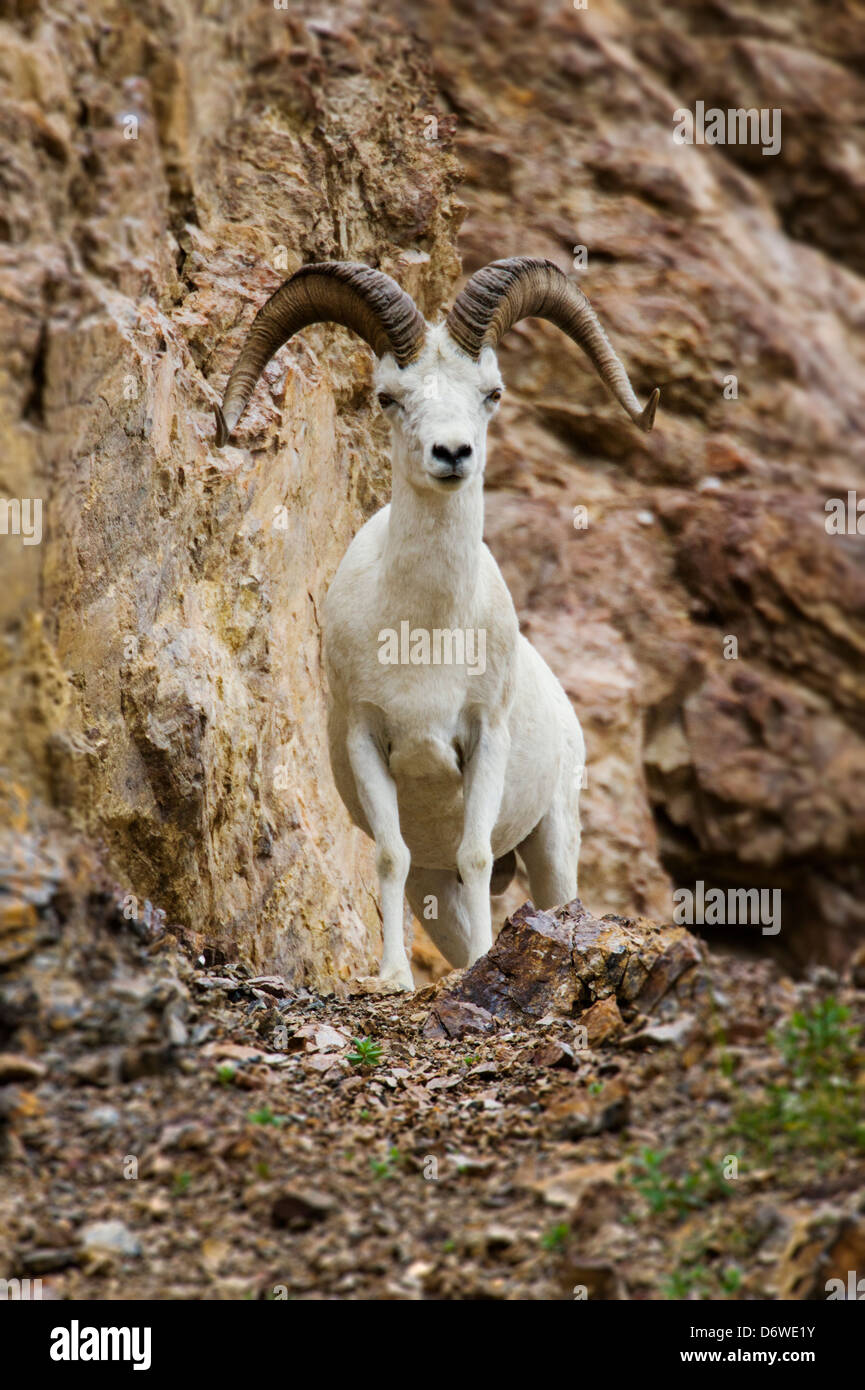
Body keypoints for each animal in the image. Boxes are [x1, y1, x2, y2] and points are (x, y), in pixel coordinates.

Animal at [214, 258, 658, 991]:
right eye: (389, 397)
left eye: (492, 393)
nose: (452, 453)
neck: (424, 637)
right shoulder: (370, 742)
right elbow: (389, 856)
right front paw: (394, 977)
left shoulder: (482, 740)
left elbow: (475, 853)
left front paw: (481, 966)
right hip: (436, 888)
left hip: (553, 840)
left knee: (551, 897)